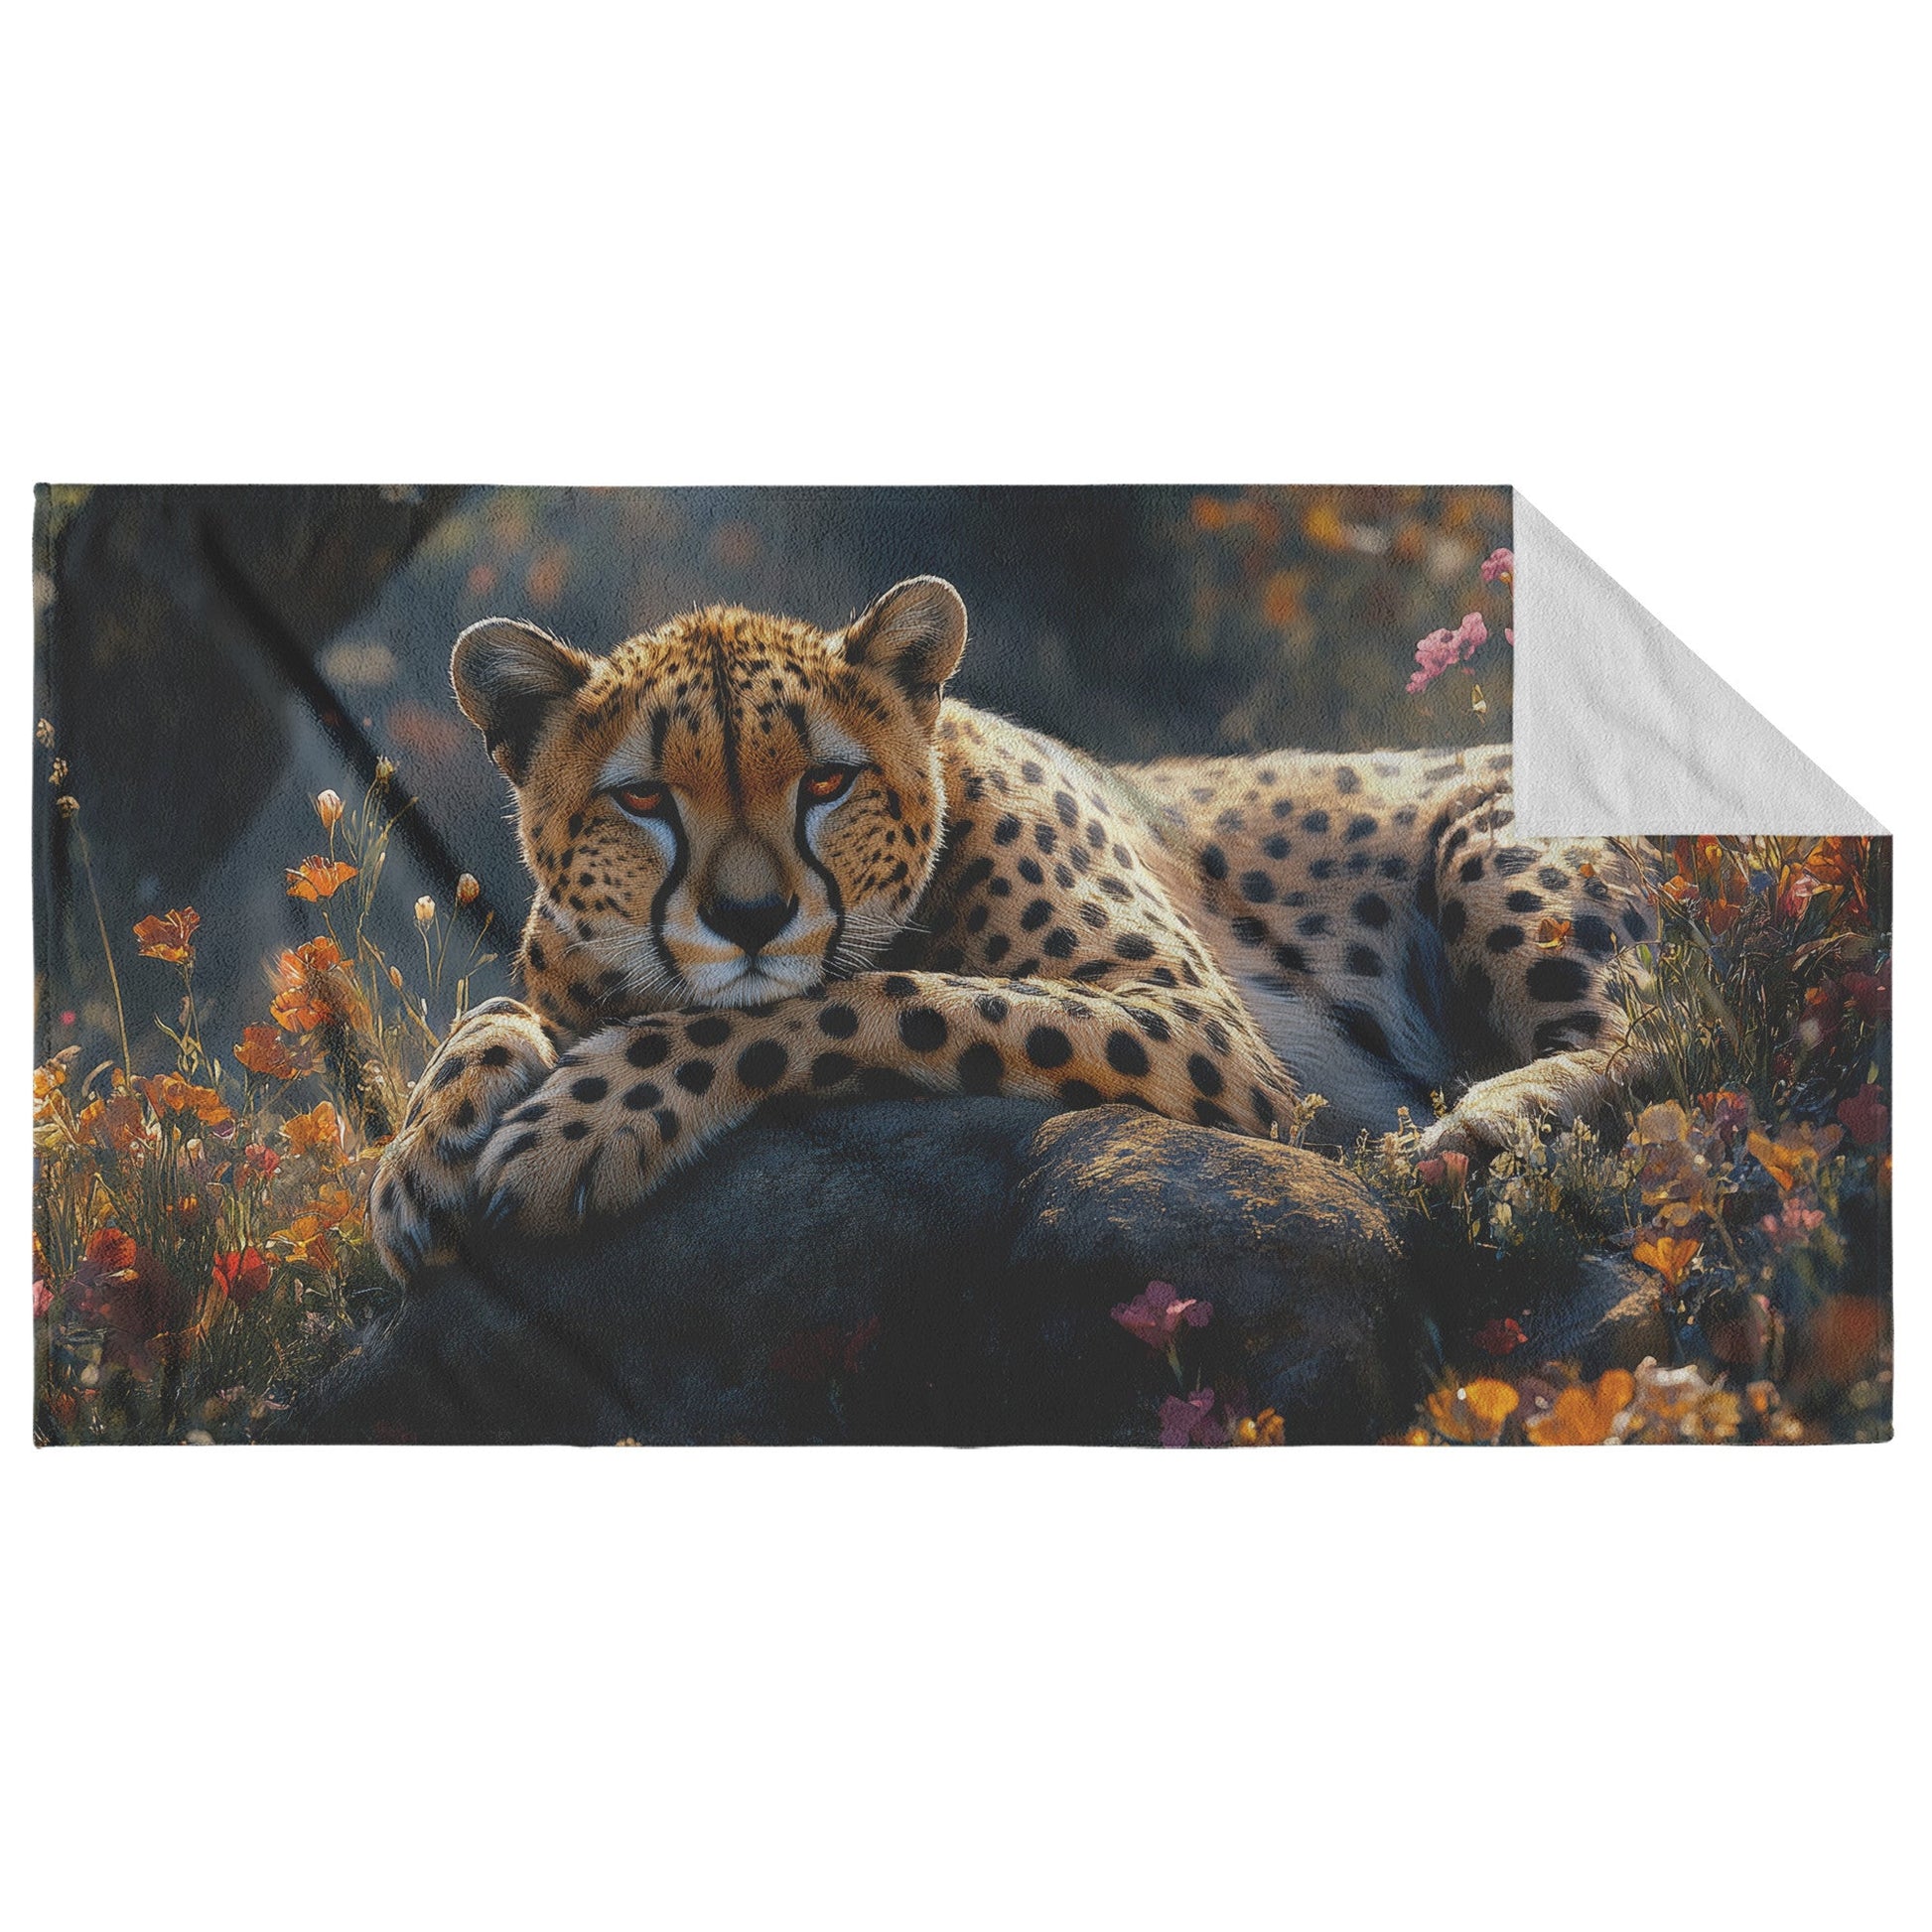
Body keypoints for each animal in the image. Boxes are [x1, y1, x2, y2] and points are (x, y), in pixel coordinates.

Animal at [371, 575, 1656, 1282]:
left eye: (826, 781)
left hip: (1483, 832)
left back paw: (1480, 1120)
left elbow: (855, 997)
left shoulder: (1199, 1024)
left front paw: (582, 1120)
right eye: (642, 798)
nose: (748, 916)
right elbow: (497, 1005)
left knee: (1651, 1034)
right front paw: (420, 1152)